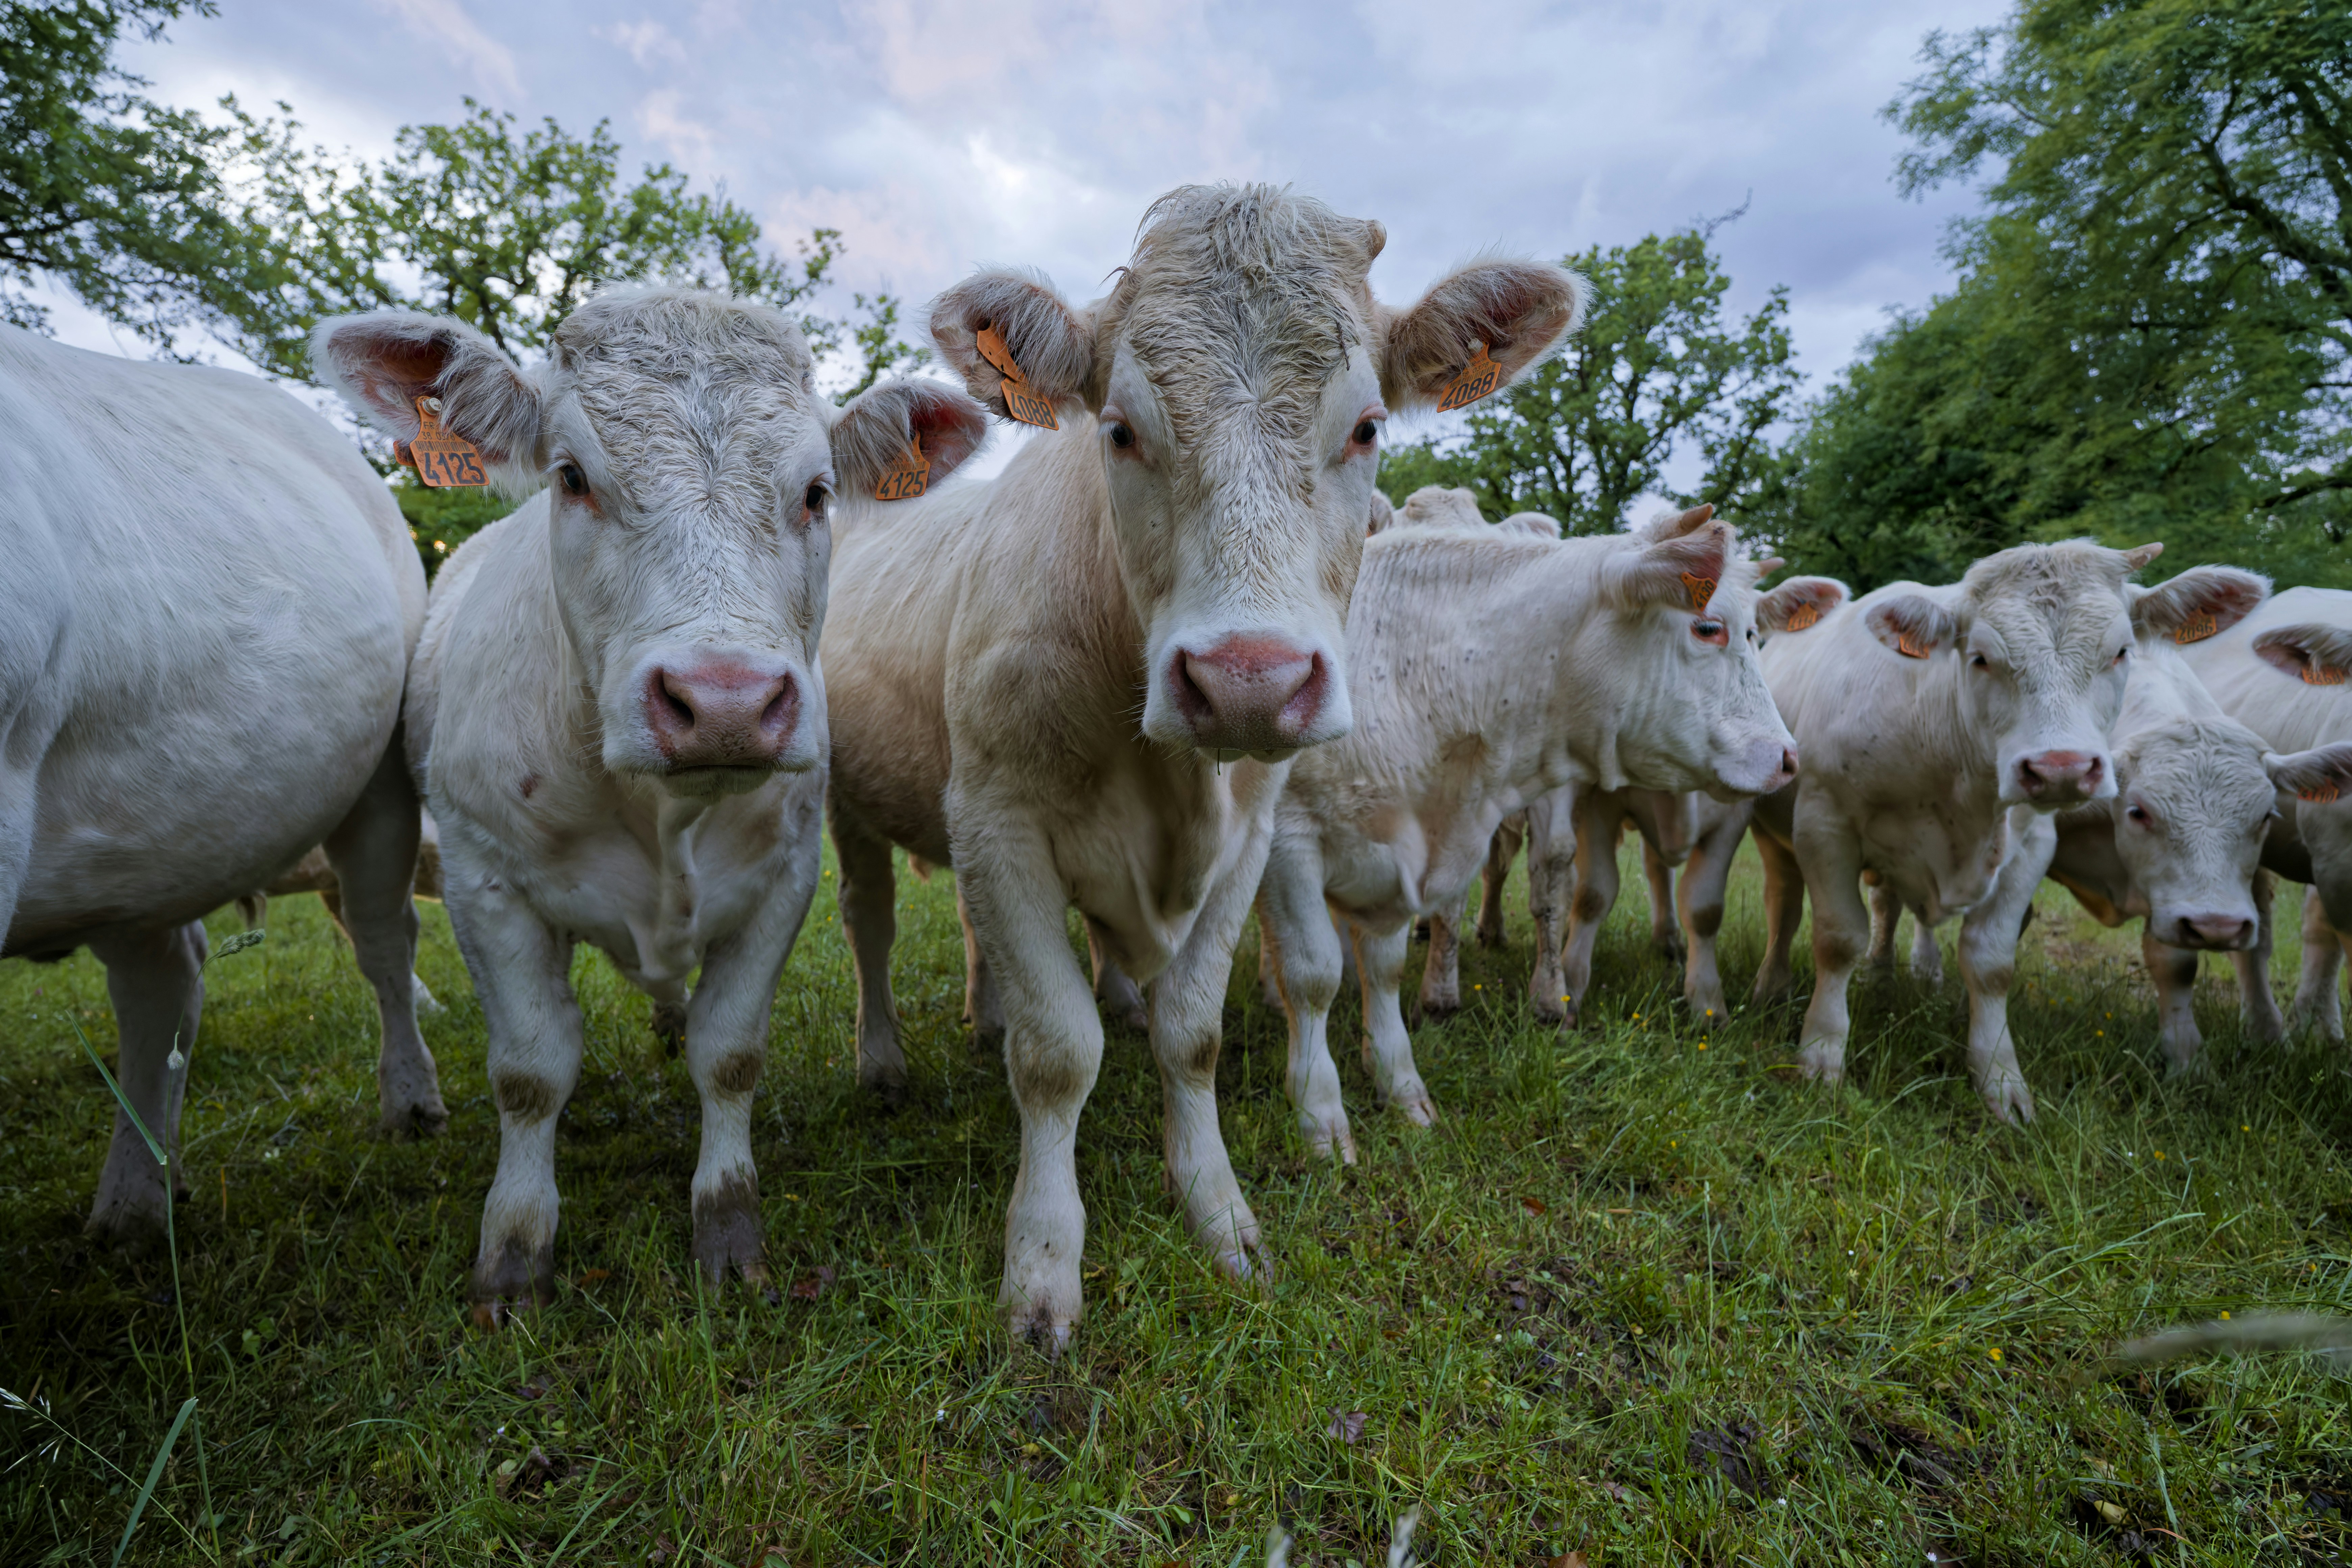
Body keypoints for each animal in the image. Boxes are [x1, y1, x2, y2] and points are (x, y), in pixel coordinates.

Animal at [1, 323, 434, 1242]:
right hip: (148, 828)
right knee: (165, 982)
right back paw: (135, 1204)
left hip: (379, 774)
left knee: (384, 939)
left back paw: (413, 1105)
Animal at [315, 289, 989, 1324]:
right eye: (572, 477)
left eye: (817, 492)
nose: (724, 701)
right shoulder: (483, 880)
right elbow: (530, 1070)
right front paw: (514, 1252)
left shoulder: (782, 878)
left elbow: (730, 1053)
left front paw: (729, 1228)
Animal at [821, 184, 1583, 1349]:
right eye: (1121, 428)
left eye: (1367, 427)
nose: (1247, 683)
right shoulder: (999, 818)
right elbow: (1057, 1051)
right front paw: (1041, 1268)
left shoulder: (1251, 843)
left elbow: (1193, 1036)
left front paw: (1220, 1216)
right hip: (850, 803)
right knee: (871, 924)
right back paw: (884, 1061)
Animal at [1256, 504, 1808, 1161]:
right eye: (1708, 629)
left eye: (1757, 634)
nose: (1788, 758)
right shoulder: (1287, 844)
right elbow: (1312, 975)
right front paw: (1320, 1116)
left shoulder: (1399, 857)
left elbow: (1384, 970)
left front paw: (1400, 1084)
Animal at [1726, 543, 2274, 1124]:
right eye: (1981, 657)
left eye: (2121, 651)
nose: (2061, 768)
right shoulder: (1825, 823)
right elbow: (1837, 940)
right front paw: (1821, 1055)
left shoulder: (2030, 847)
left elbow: (1991, 964)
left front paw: (2001, 1081)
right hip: (1779, 839)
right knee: (1786, 905)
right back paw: (1774, 987)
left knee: (1891, 907)